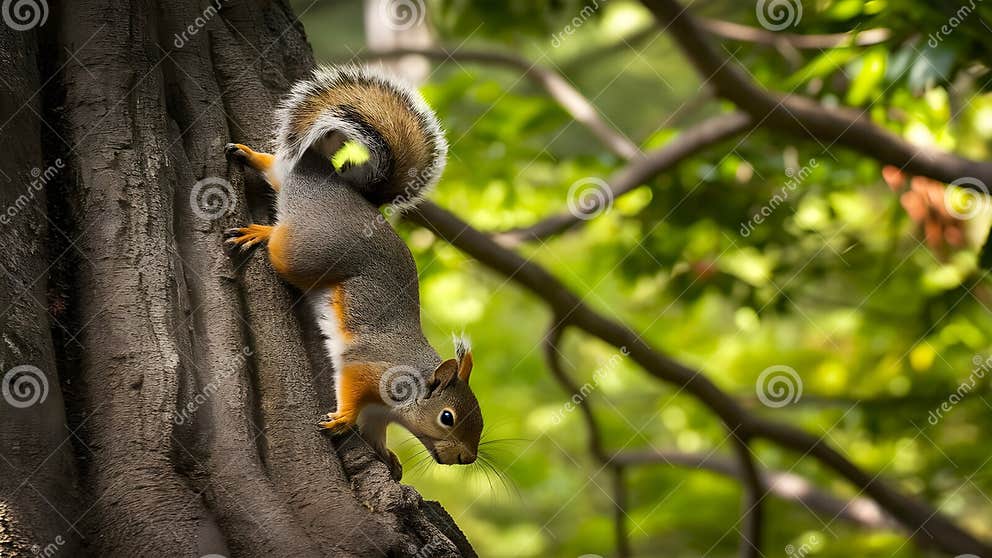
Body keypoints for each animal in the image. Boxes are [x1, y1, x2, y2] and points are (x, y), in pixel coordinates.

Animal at [222, 65, 482, 481]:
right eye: (447, 417)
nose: (467, 458)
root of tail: (327, 184)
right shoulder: (370, 370)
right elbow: (351, 386)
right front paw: (342, 417)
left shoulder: (379, 416)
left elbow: (376, 434)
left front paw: (388, 457)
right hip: (303, 251)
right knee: (281, 235)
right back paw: (260, 231)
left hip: (294, 192)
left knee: (281, 170)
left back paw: (251, 156)